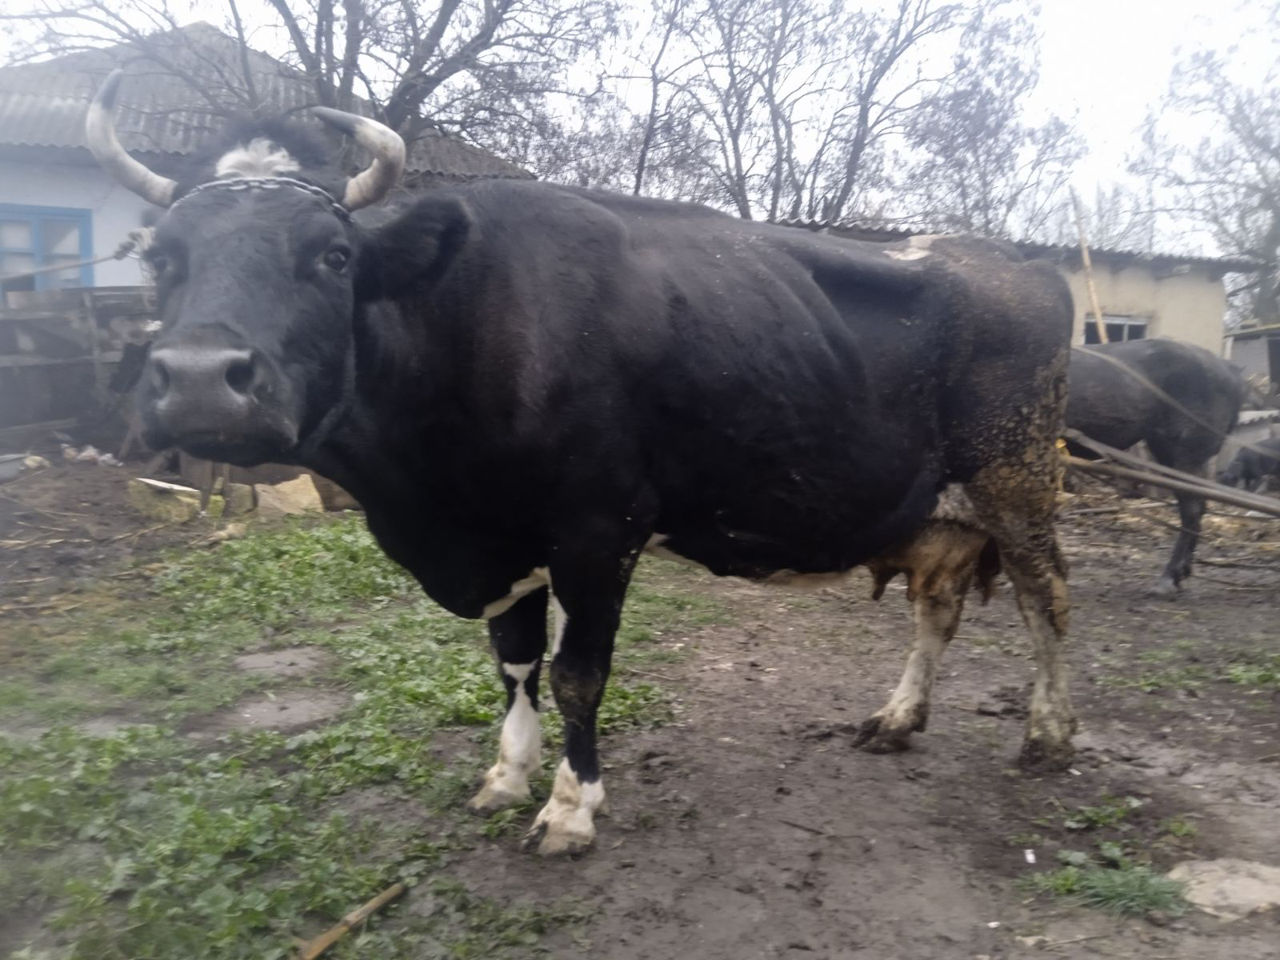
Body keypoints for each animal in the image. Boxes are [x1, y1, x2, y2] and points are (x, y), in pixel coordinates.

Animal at [87, 70, 1076, 855]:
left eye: (332, 256)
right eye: (162, 259)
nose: (201, 381)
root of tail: (1010, 259)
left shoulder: (601, 530)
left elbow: (576, 672)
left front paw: (570, 807)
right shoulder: (501, 539)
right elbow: (513, 662)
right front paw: (505, 775)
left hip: (1020, 481)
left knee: (1048, 600)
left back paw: (1049, 736)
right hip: (943, 513)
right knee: (937, 610)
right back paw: (900, 719)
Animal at [1066, 340, 1243, 598]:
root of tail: (1228, 369)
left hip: (1185, 455)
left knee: (1191, 510)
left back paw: (1169, 577)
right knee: (1198, 508)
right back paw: (1181, 572)